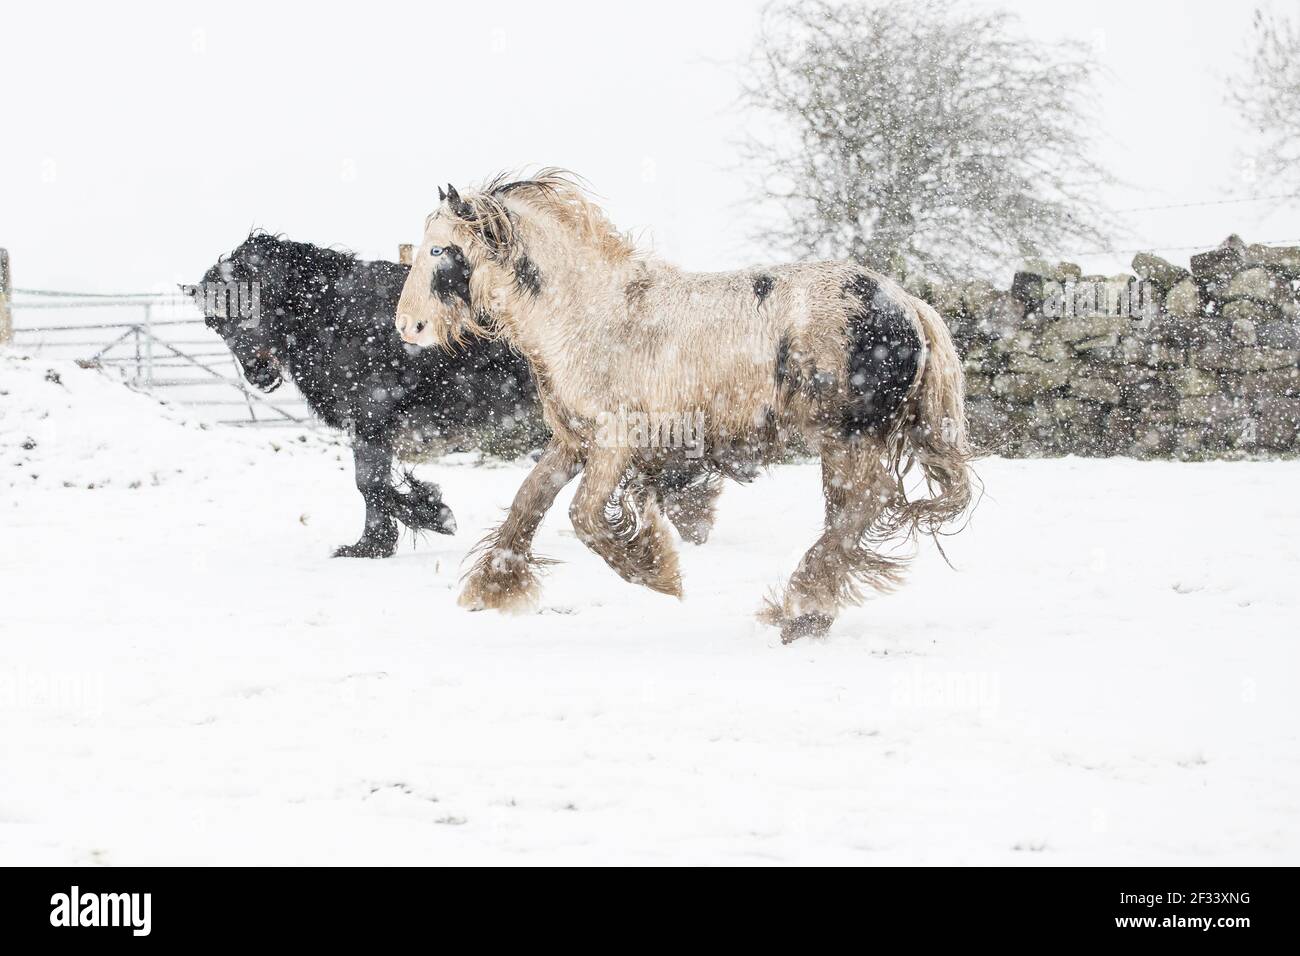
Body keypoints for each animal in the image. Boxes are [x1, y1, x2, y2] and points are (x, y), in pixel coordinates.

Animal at [192, 232, 720, 558]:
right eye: (216, 321)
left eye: (252, 300)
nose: (257, 374)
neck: (335, 313)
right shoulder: (370, 428)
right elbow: (371, 487)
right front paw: (371, 547)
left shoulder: (372, 417)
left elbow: (371, 485)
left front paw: (433, 515)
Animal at [394, 171, 974, 641]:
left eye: (440, 250)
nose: (407, 326)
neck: (589, 315)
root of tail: (909, 305)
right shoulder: (575, 441)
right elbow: (528, 501)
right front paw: (493, 587)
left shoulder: (615, 442)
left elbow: (585, 516)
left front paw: (659, 571)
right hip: (842, 445)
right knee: (849, 513)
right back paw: (809, 612)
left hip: (848, 437)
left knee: (866, 505)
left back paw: (799, 609)